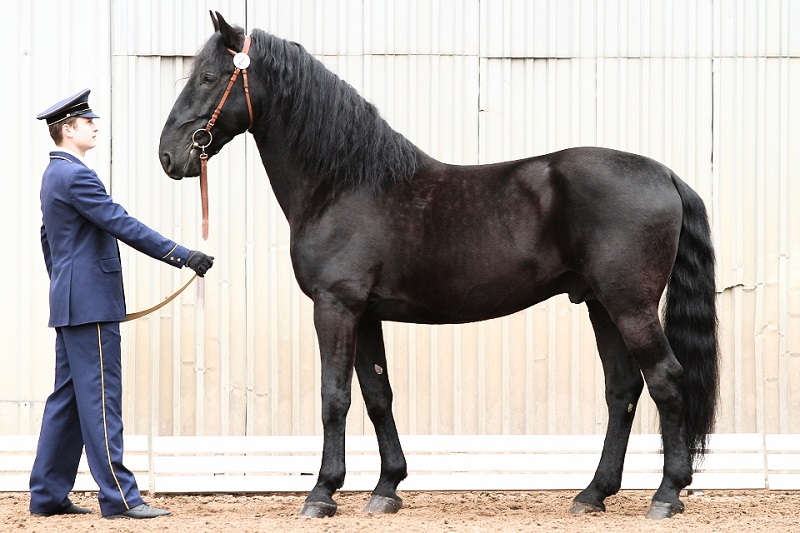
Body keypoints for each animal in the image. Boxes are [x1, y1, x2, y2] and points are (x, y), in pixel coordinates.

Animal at [159, 12, 719, 520]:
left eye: (208, 77)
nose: (167, 156)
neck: (343, 185)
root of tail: (665, 175)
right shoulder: (366, 313)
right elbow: (378, 394)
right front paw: (386, 488)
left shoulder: (335, 306)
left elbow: (334, 396)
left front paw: (322, 493)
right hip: (601, 305)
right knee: (622, 389)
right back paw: (593, 494)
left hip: (630, 305)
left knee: (666, 379)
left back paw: (667, 494)